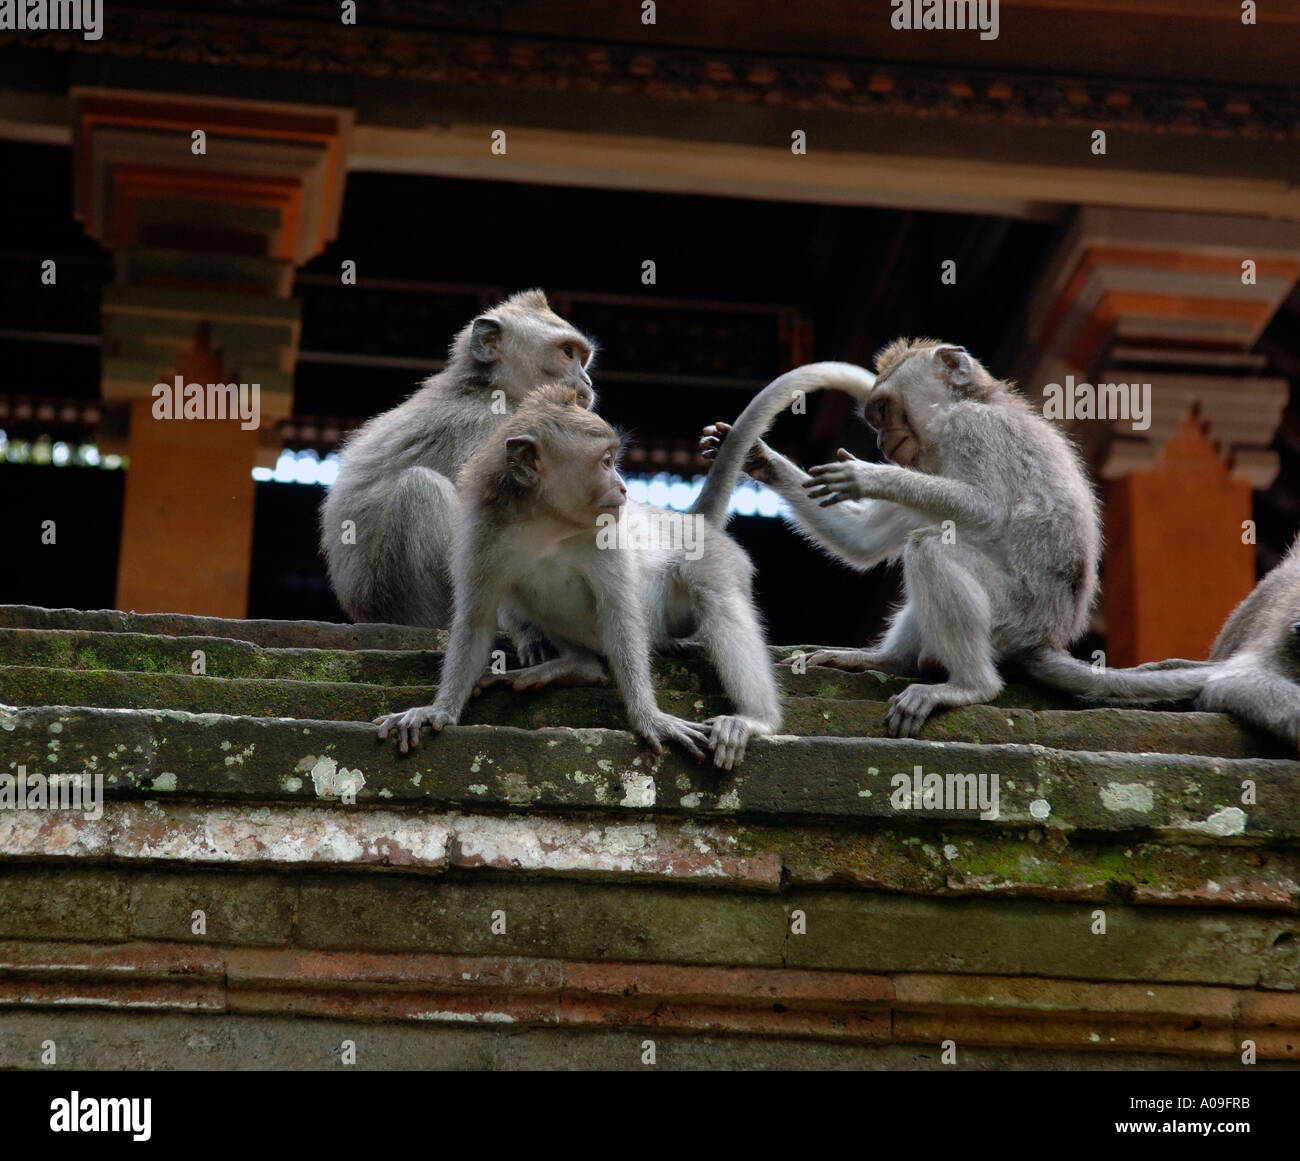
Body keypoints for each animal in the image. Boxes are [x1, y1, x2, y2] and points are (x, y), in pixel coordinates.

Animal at [320, 289, 597, 664]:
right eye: (567, 353)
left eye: (582, 358)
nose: (587, 382)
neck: (486, 387)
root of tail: (363, 614)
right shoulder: (492, 430)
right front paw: (531, 633)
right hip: (403, 600)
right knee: (421, 488)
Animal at [374, 384, 783, 770]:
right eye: (605, 462)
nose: (623, 487)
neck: (548, 526)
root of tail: (690, 521)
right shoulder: (480, 535)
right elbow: (475, 620)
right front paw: (439, 710)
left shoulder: (608, 535)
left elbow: (621, 614)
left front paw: (649, 717)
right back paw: (576, 665)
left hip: (712, 561)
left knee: (714, 591)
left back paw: (755, 719)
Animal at [695, 342, 1209, 737]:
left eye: (884, 411)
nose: (881, 442)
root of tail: (1047, 638)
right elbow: (864, 541)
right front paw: (758, 457)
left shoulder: (973, 430)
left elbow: (986, 508)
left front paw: (870, 476)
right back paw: (886, 660)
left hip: (1013, 618)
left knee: (930, 550)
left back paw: (969, 686)